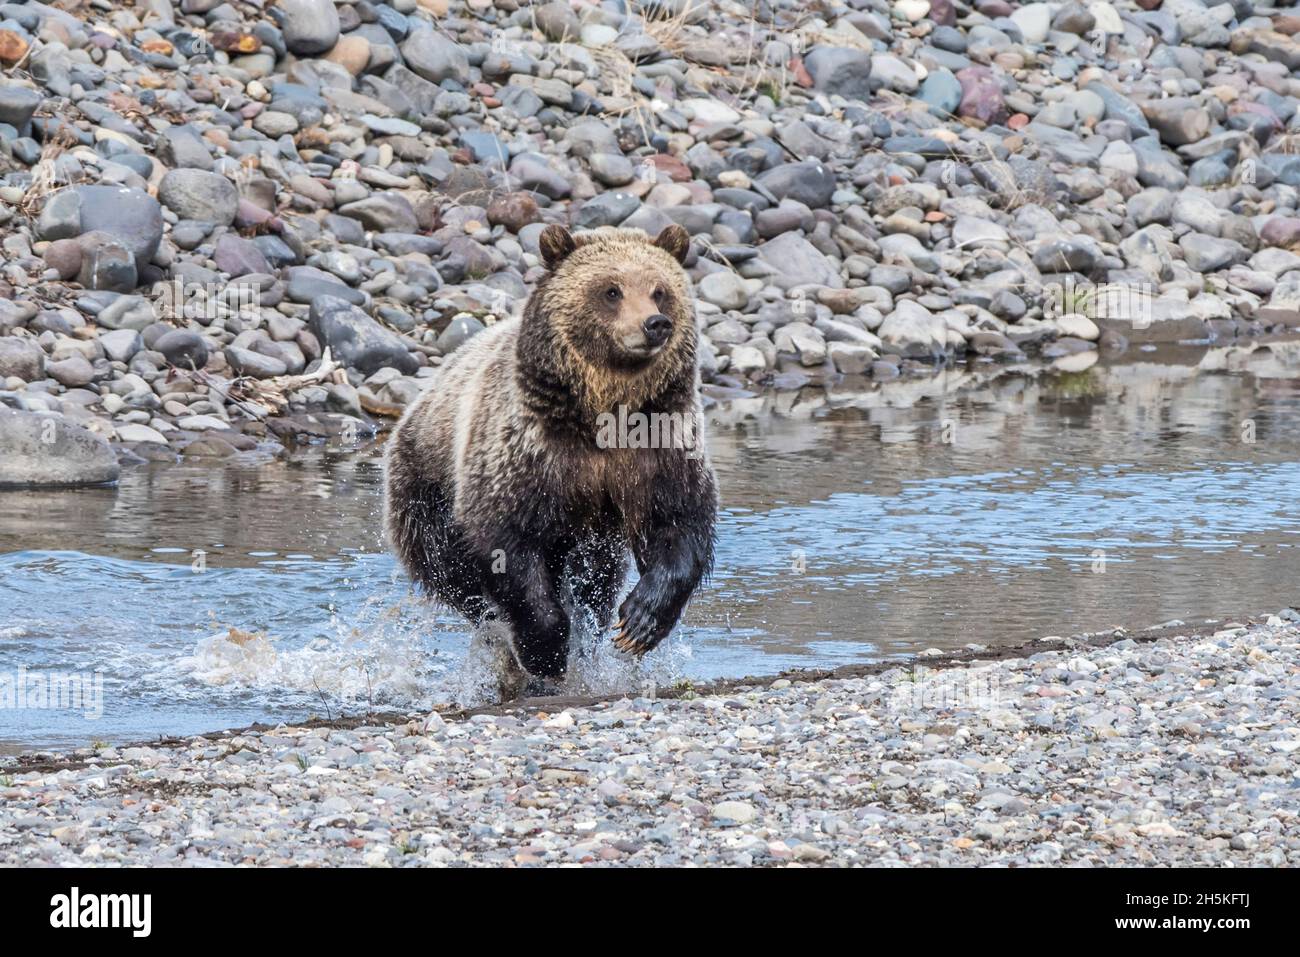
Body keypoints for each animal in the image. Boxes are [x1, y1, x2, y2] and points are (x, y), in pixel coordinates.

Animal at [384, 224, 718, 690]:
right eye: (611, 290)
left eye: (660, 290)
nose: (655, 324)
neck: (603, 412)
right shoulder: (527, 451)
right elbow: (507, 541)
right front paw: (546, 652)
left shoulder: (657, 443)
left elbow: (679, 520)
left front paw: (639, 623)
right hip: (423, 489)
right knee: (454, 576)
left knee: (595, 583)